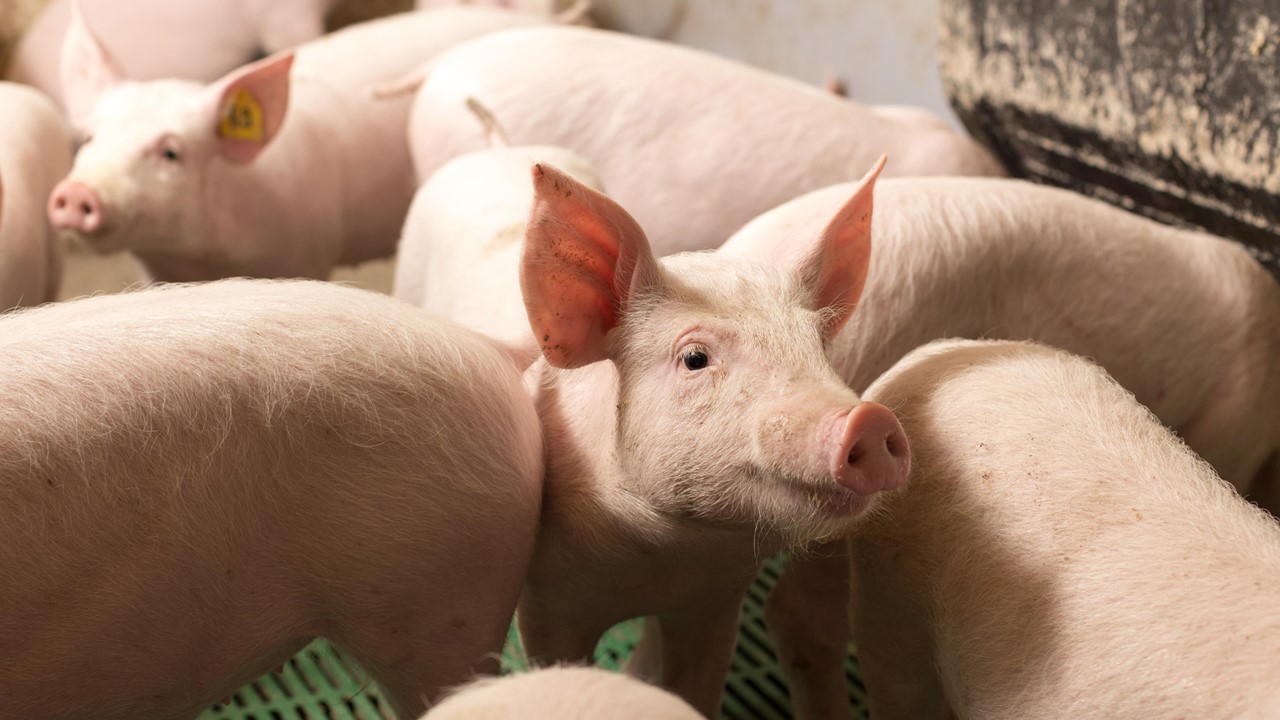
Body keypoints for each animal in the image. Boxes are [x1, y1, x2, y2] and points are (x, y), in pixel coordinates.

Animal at [512, 158, 910, 718]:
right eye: (695, 358)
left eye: (818, 345)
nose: (870, 420)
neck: (659, 557)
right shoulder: (546, 603)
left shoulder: (715, 604)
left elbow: (696, 687)